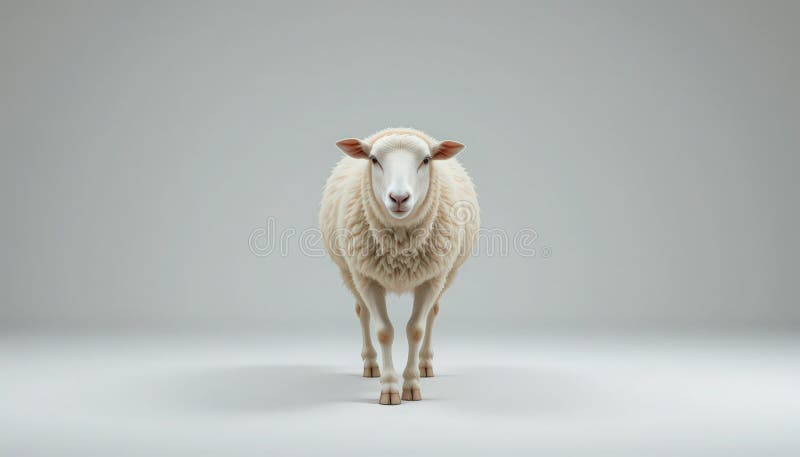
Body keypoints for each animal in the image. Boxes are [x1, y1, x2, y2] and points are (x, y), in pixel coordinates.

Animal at [319, 127, 480, 405]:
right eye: (373, 159)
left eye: (426, 159)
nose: (399, 197)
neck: (400, 245)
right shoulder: (367, 278)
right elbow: (384, 331)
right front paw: (389, 387)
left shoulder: (432, 279)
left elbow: (415, 329)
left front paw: (412, 384)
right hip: (350, 272)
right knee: (362, 312)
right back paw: (371, 365)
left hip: (446, 274)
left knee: (433, 314)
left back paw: (425, 364)